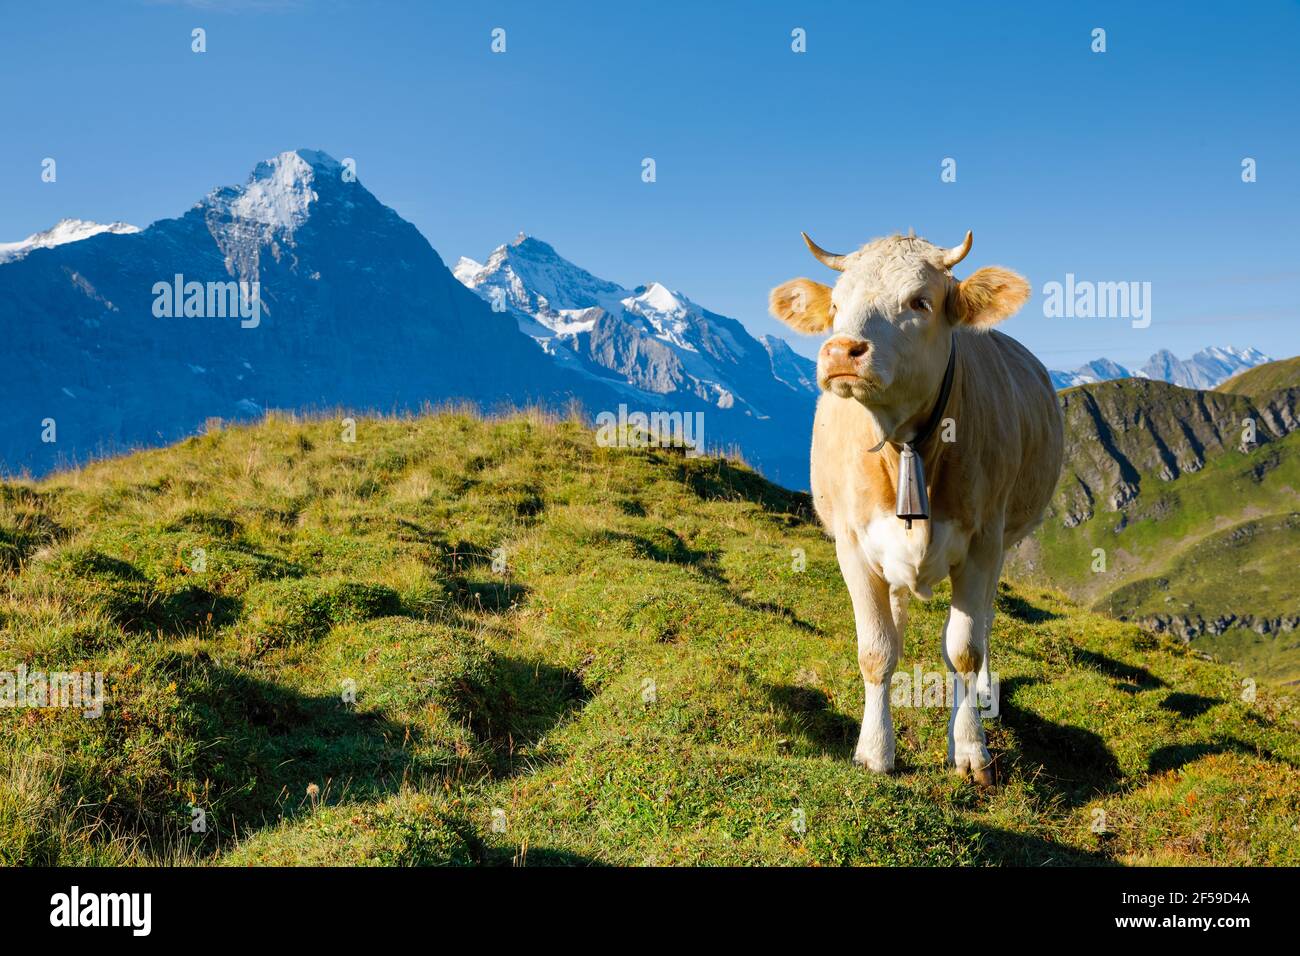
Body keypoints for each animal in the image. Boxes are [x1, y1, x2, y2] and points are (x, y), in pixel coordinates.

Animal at [769, 230, 1063, 785]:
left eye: (920, 302)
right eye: (836, 306)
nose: (840, 351)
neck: (905, 444)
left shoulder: (983, 543)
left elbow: (964, 649)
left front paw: (969, 749)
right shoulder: (853, 546)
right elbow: (876, 651)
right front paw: (874, 749)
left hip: (1005, 543)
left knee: (985, 619)